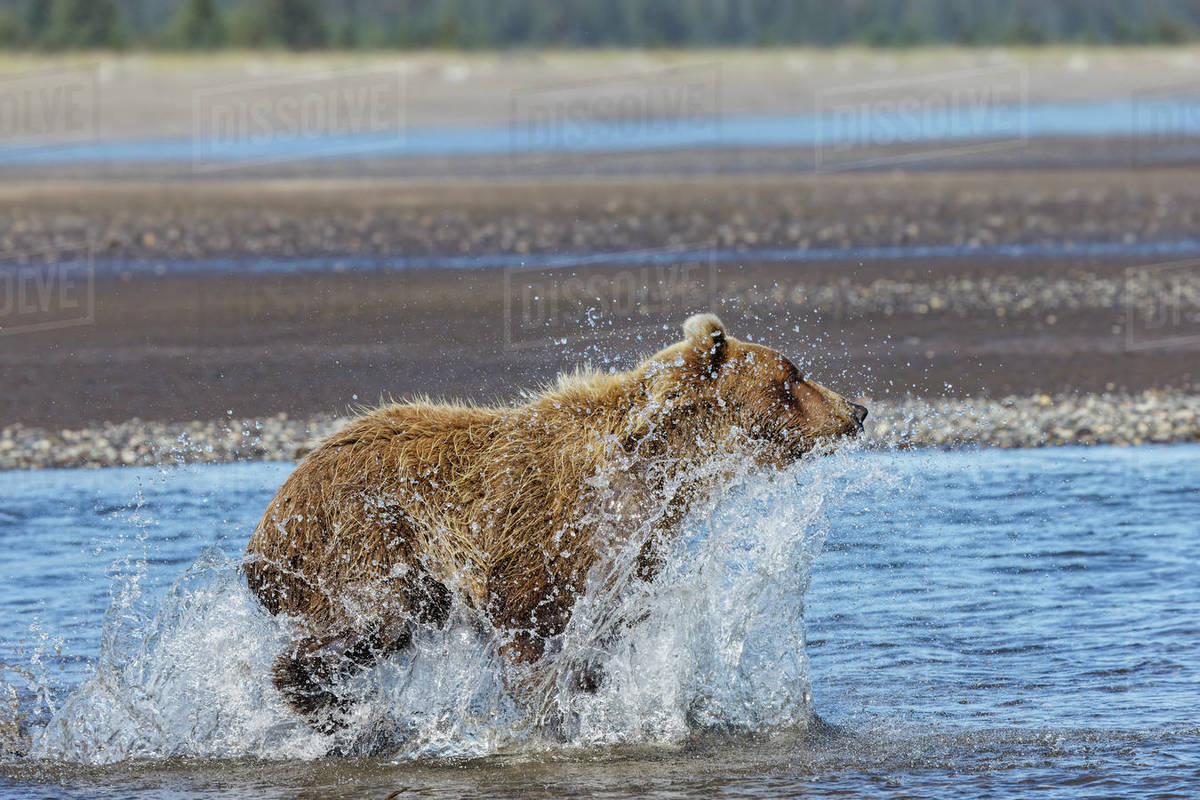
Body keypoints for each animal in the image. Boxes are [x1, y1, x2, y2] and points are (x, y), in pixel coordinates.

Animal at [244, 313, 867, 731]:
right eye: (793, 376)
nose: (857, 410)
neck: (654, 466)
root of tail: (266, 528)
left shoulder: (627, 550)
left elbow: (606, 634)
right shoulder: (546, 539)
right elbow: (531, 635)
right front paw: (552, 716)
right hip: (365, 541)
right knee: (370, 621)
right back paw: (336, 708)